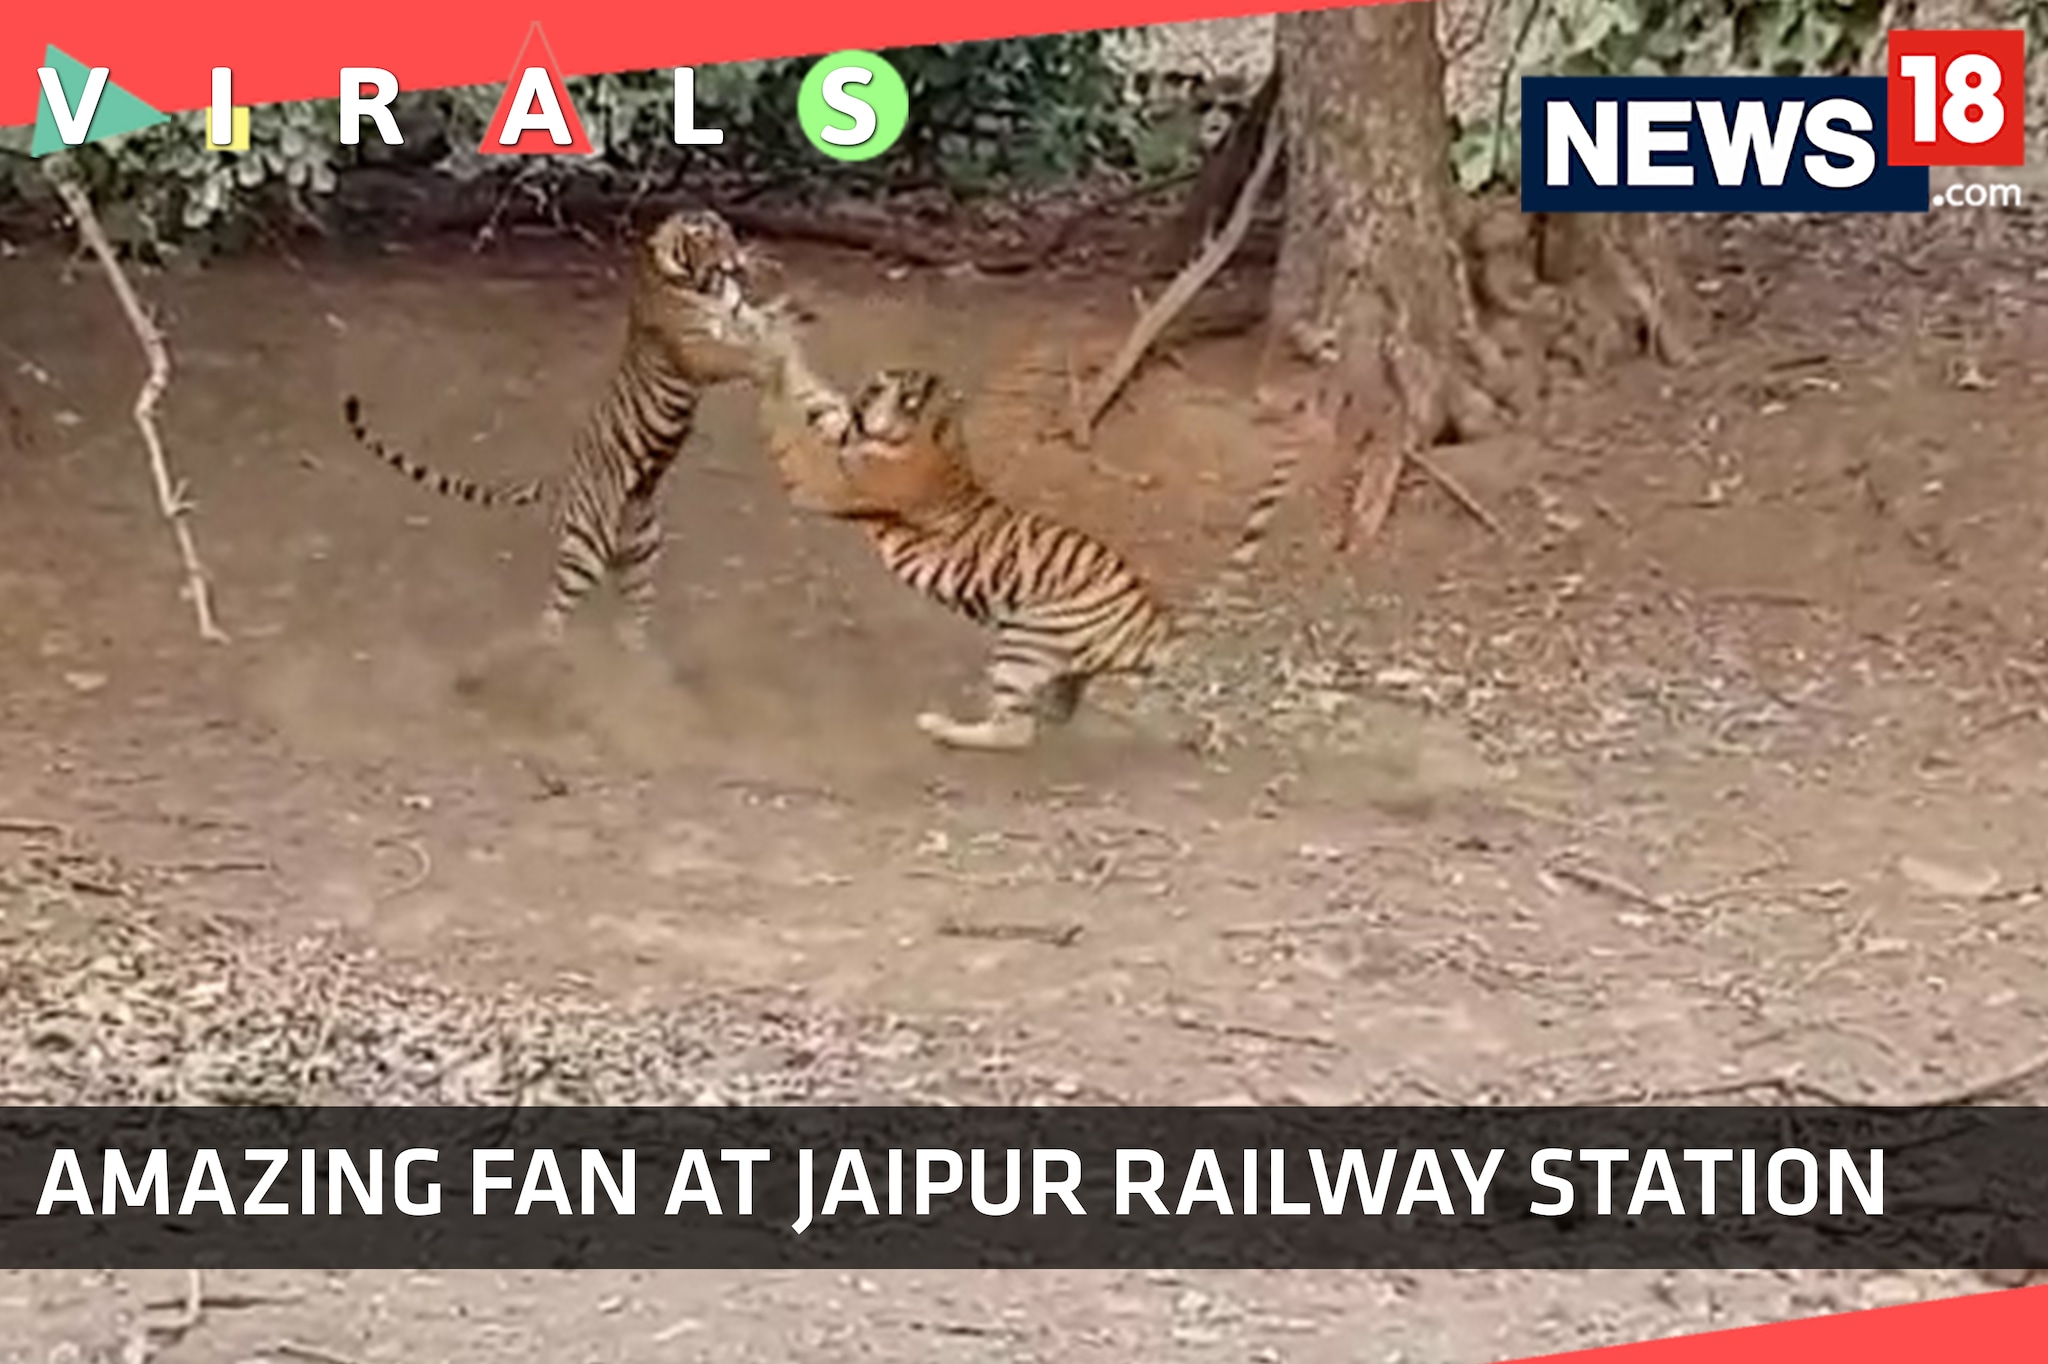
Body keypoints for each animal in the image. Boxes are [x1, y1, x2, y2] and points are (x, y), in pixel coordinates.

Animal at [339, 208, 806, 656]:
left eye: (724, 230)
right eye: (703, 237)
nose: (735, 257)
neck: (704, 283)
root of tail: (565, 483)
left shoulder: (738, 313)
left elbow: (760, 318)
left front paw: (788, 316)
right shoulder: (695, 347)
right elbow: (736, 354)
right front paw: (771, 359)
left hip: (642, 549)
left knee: (633, 614)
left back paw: (638, 656)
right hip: (586, 548)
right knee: (553, 610)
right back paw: (552, 658)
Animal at [748, 331, 1301, 754]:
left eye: (881, 384)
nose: (865, 391)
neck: (939, 433)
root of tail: (1155, 620)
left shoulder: (829, 481)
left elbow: (791, 434)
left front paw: (768, 365)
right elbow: (817, 404)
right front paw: (779, 350)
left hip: (1024, 640)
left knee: (1015, 729)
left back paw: (943, 728)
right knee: (1058, 705)